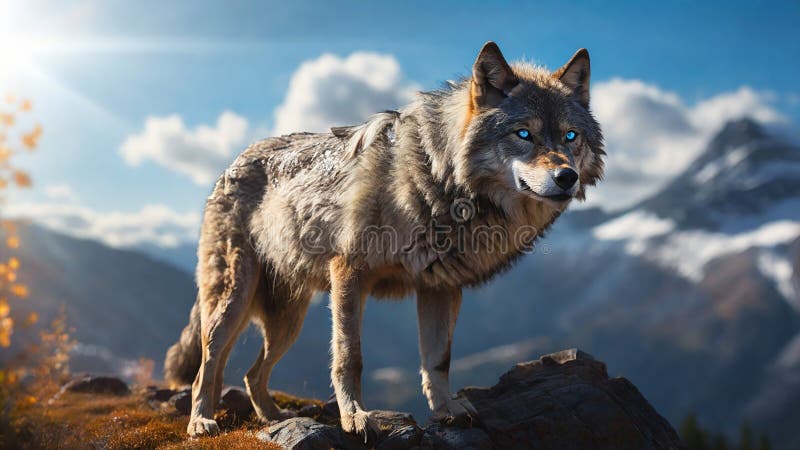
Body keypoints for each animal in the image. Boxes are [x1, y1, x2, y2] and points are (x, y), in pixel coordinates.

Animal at [165, 41, 604, 438]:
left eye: (570, 136)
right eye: (524, 134)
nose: (567, 177)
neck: (441, 180)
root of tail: (232, 163)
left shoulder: (440, 286)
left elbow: (438, 358)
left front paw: (446, 409)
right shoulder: (349, 273)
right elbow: (350, 357)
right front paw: (355, 417)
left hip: (288, 321)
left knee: (251, 373)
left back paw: (273, 417)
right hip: (234, 300)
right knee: (208, 366)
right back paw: (201, 422)